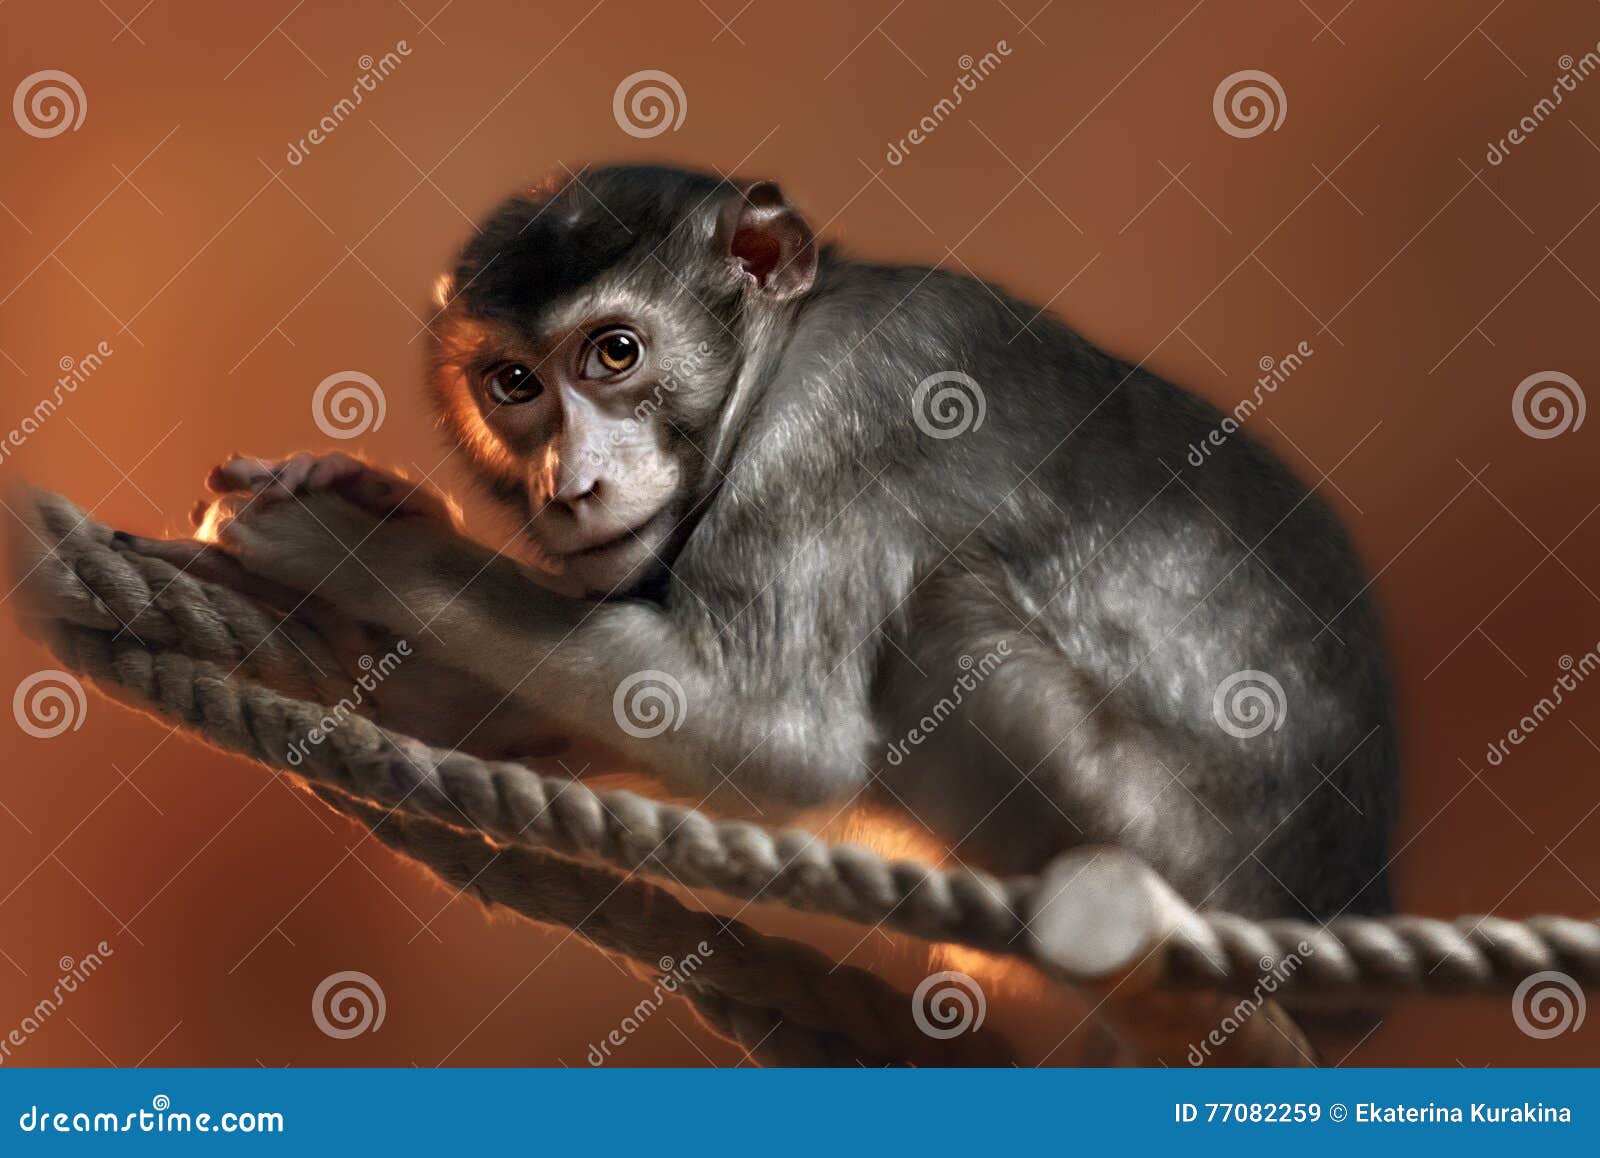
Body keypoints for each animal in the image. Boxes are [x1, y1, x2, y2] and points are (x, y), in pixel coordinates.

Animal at [125, 164, 1397, 924]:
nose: (571, 485)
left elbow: (775, 734)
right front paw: (373, 525)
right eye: (512, 384)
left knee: (943, 623)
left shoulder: (854, 413)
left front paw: (346, 547)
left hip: (1131, 826)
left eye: (616, 353)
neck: (777, 355)